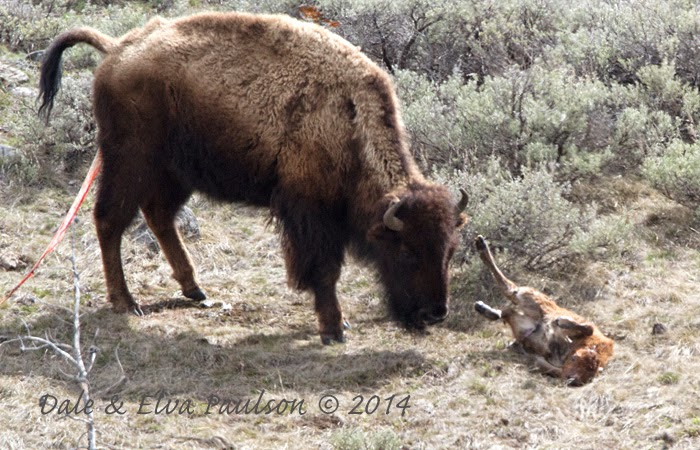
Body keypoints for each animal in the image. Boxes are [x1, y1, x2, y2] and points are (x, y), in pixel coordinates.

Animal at [38, 12, 468, 344]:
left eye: (450, 251)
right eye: (408, 250)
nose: (436, 313)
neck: (348, 121)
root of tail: (116, 49)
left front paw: (336, 324)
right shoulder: (309, 214)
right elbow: (325, 271)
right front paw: (333, 329)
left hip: (175, 173)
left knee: (158, 216)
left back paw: (194, 289)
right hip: (129, 162)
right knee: (110, 220)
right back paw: (127, 303)